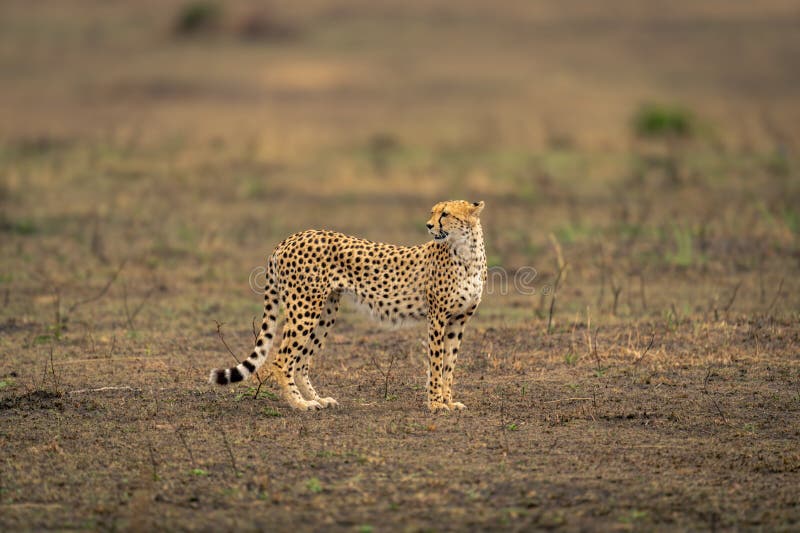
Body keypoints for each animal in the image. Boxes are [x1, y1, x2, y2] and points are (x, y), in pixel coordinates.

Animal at [208, 200, 487, 412]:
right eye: (433, 212)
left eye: (445, 214)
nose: (428, 225)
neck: (466, 252)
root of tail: (290, 238)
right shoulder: (437, 318)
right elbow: (437, 363)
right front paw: (436, 404)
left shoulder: (458, 321)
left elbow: (449, 364)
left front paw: (448, 402)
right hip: (305, 310)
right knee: (281, 360)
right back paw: (300, 404)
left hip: (325, 311)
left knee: (301, 361)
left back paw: (317, 399)